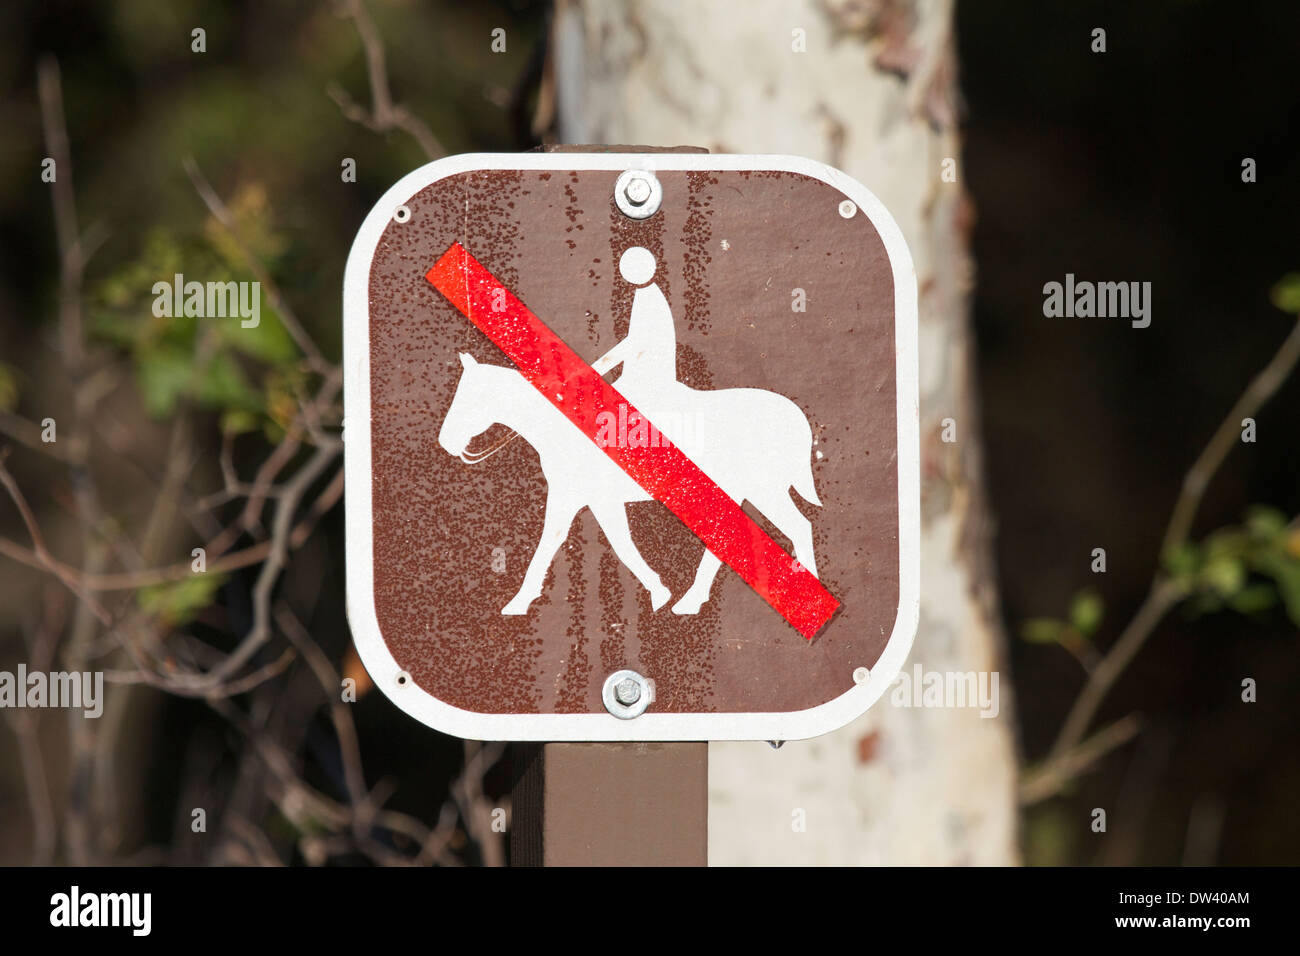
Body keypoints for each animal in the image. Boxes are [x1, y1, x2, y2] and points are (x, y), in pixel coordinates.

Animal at [438, 353, 824, 616]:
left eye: (469, 398)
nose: (445, 442)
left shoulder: (593, 499)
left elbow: (617, 545)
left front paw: (658, 592)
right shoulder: (575, 498)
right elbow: (555, 542)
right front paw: (520, 600)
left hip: (762, 491)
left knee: (797, 527)